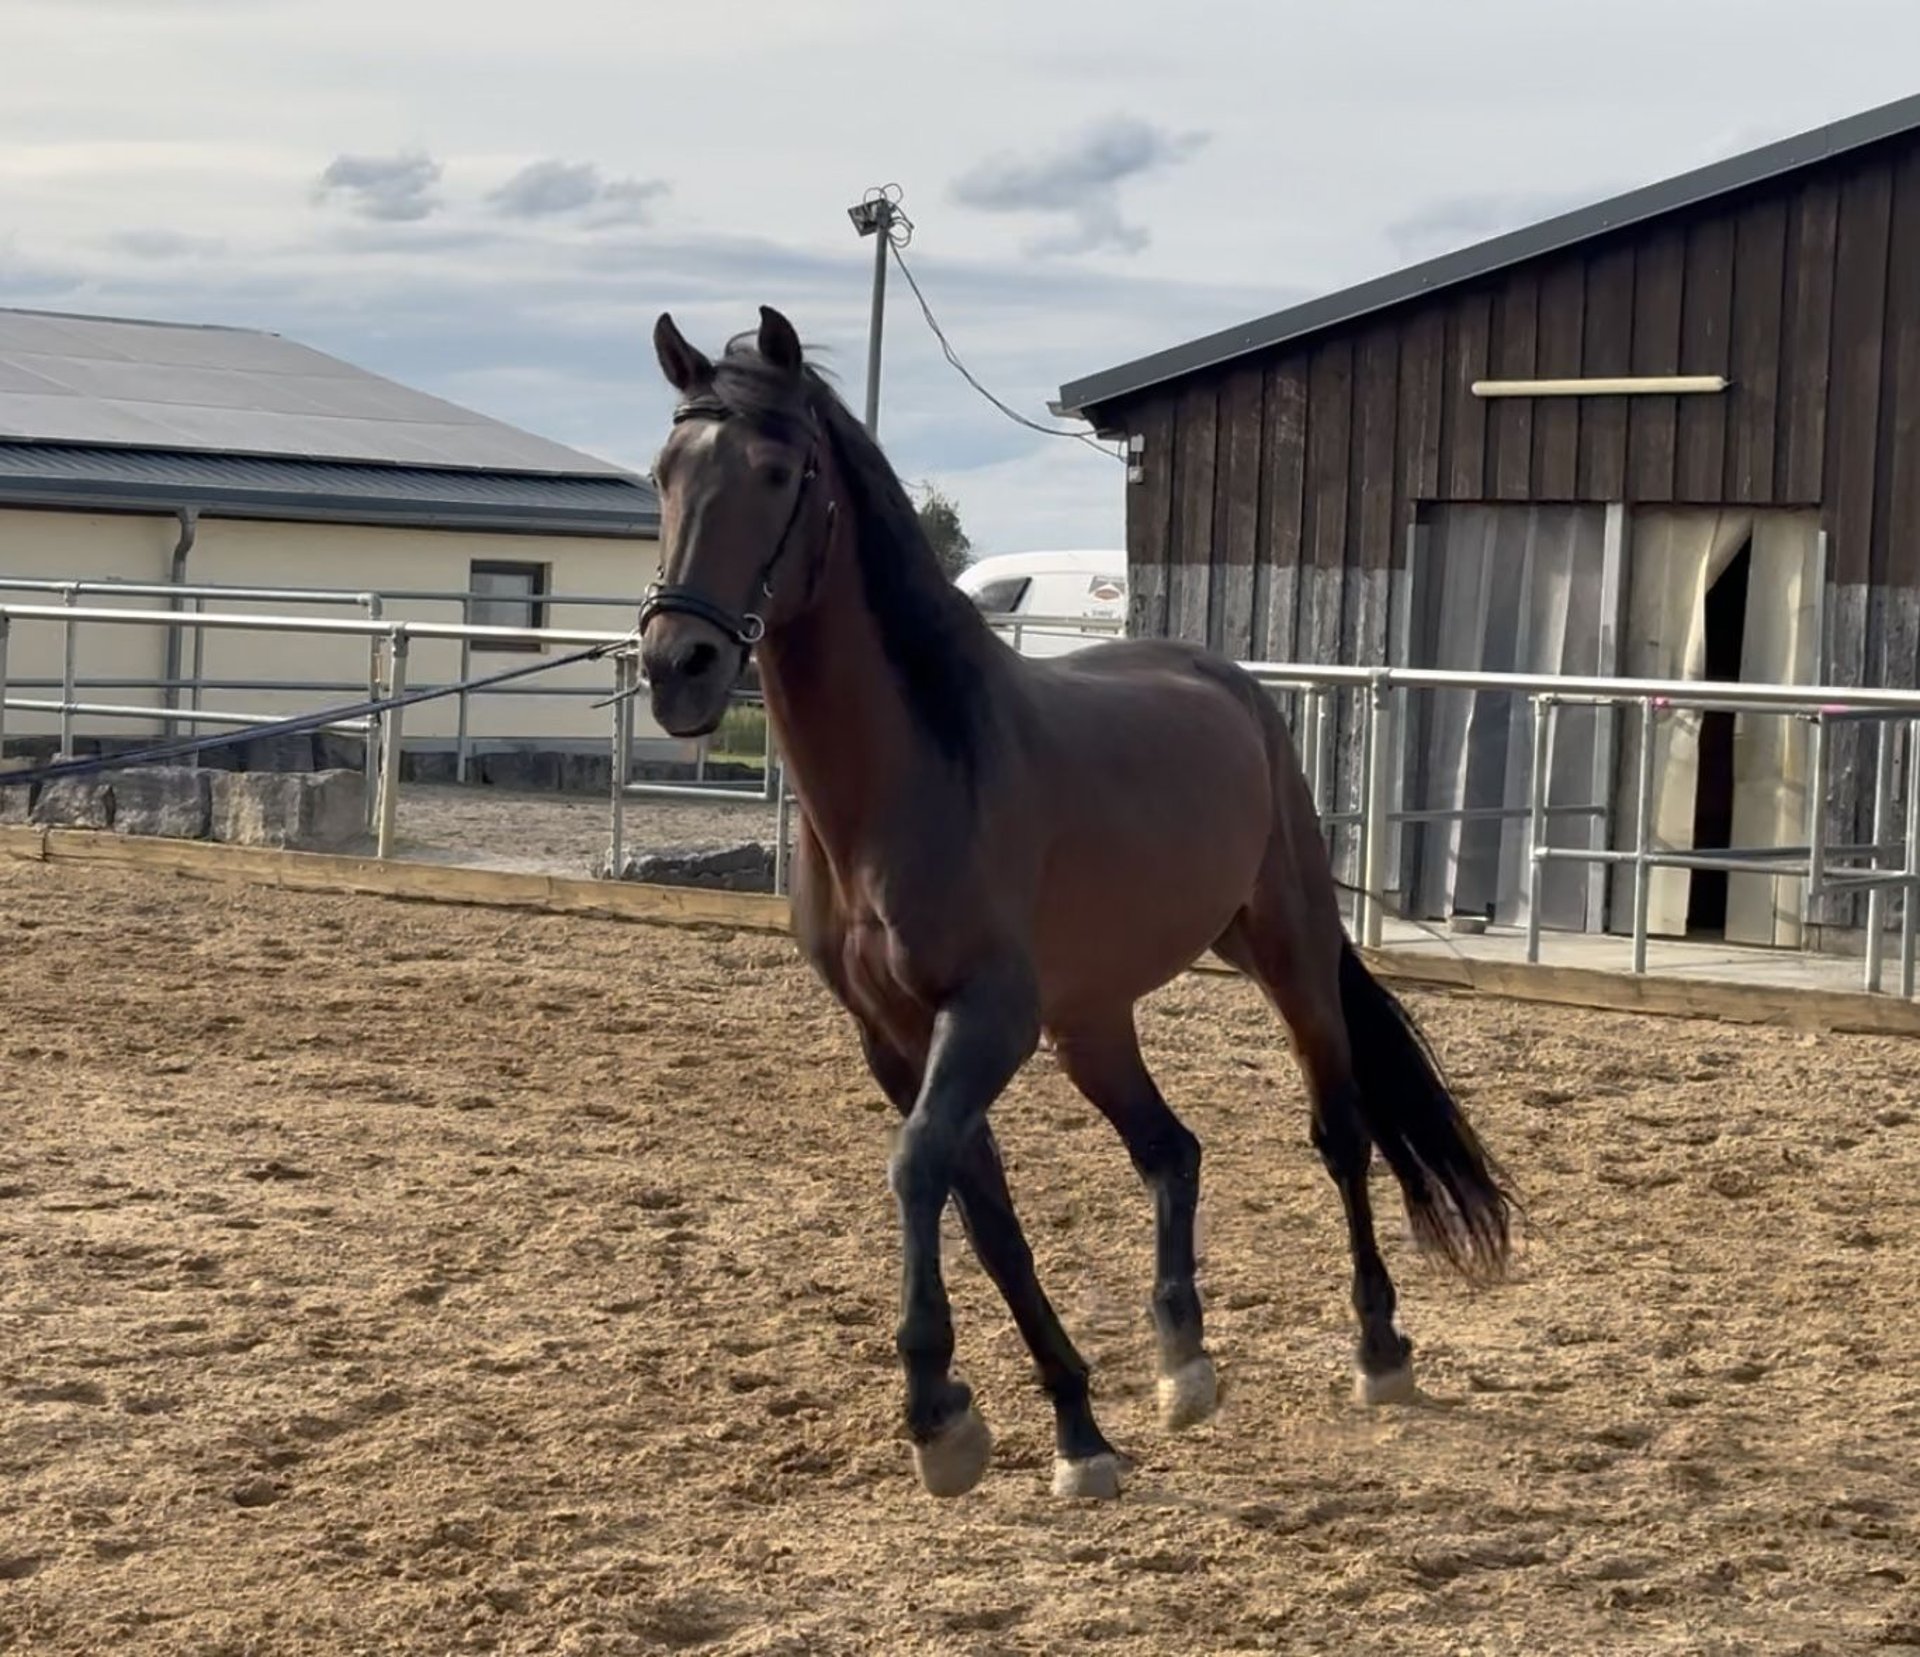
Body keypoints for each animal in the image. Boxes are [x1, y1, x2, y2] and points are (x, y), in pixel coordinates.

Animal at [639, 305, 1515, 1502]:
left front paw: (936, 1409)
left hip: (1284, 951)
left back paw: (1378, 1350)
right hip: (1093, 1016)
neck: (917, 773)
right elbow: (984, 1211)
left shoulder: (989, 1016)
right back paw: (1183, 1359)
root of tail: (1230, 682)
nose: (675, 666)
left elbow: (916, 1168)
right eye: (663, 472)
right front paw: (1071, 1425)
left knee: (1338, 1133)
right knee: (1170, 1149)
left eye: (777, 471)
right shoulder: (894, 1036)